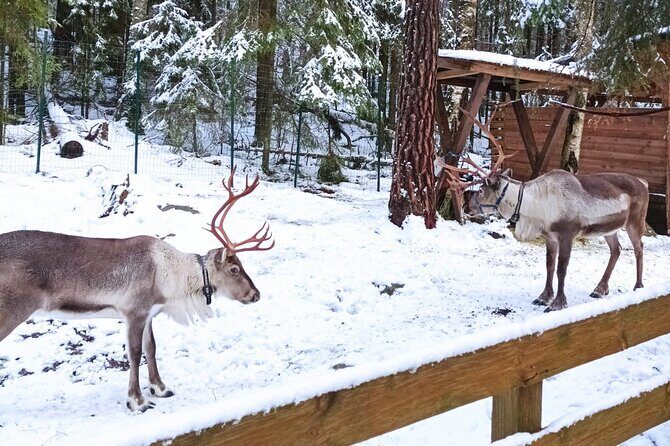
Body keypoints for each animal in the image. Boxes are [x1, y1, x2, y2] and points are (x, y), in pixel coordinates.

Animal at [0, 167, 274, 412]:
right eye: (234, 269)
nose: (256, 294)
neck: (173, 280)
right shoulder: (134, 311)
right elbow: (133, 353)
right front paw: (137, 401)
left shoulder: (150, 313)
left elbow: (151, 348)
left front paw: (161, 388)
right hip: (12, 309)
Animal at [441, 109, 649, 312]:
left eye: (481, 190)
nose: (467, 206)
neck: (536, 207)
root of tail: (644, 183)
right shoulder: (550, 236)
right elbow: (549, 266)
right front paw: (543, 297)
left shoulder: (567, 234)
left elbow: (561, 269)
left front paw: (558, 303)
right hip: (609, 228)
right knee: (617, 249)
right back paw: (599, 289)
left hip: (635, 221)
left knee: (639, 248)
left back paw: (638, 286)